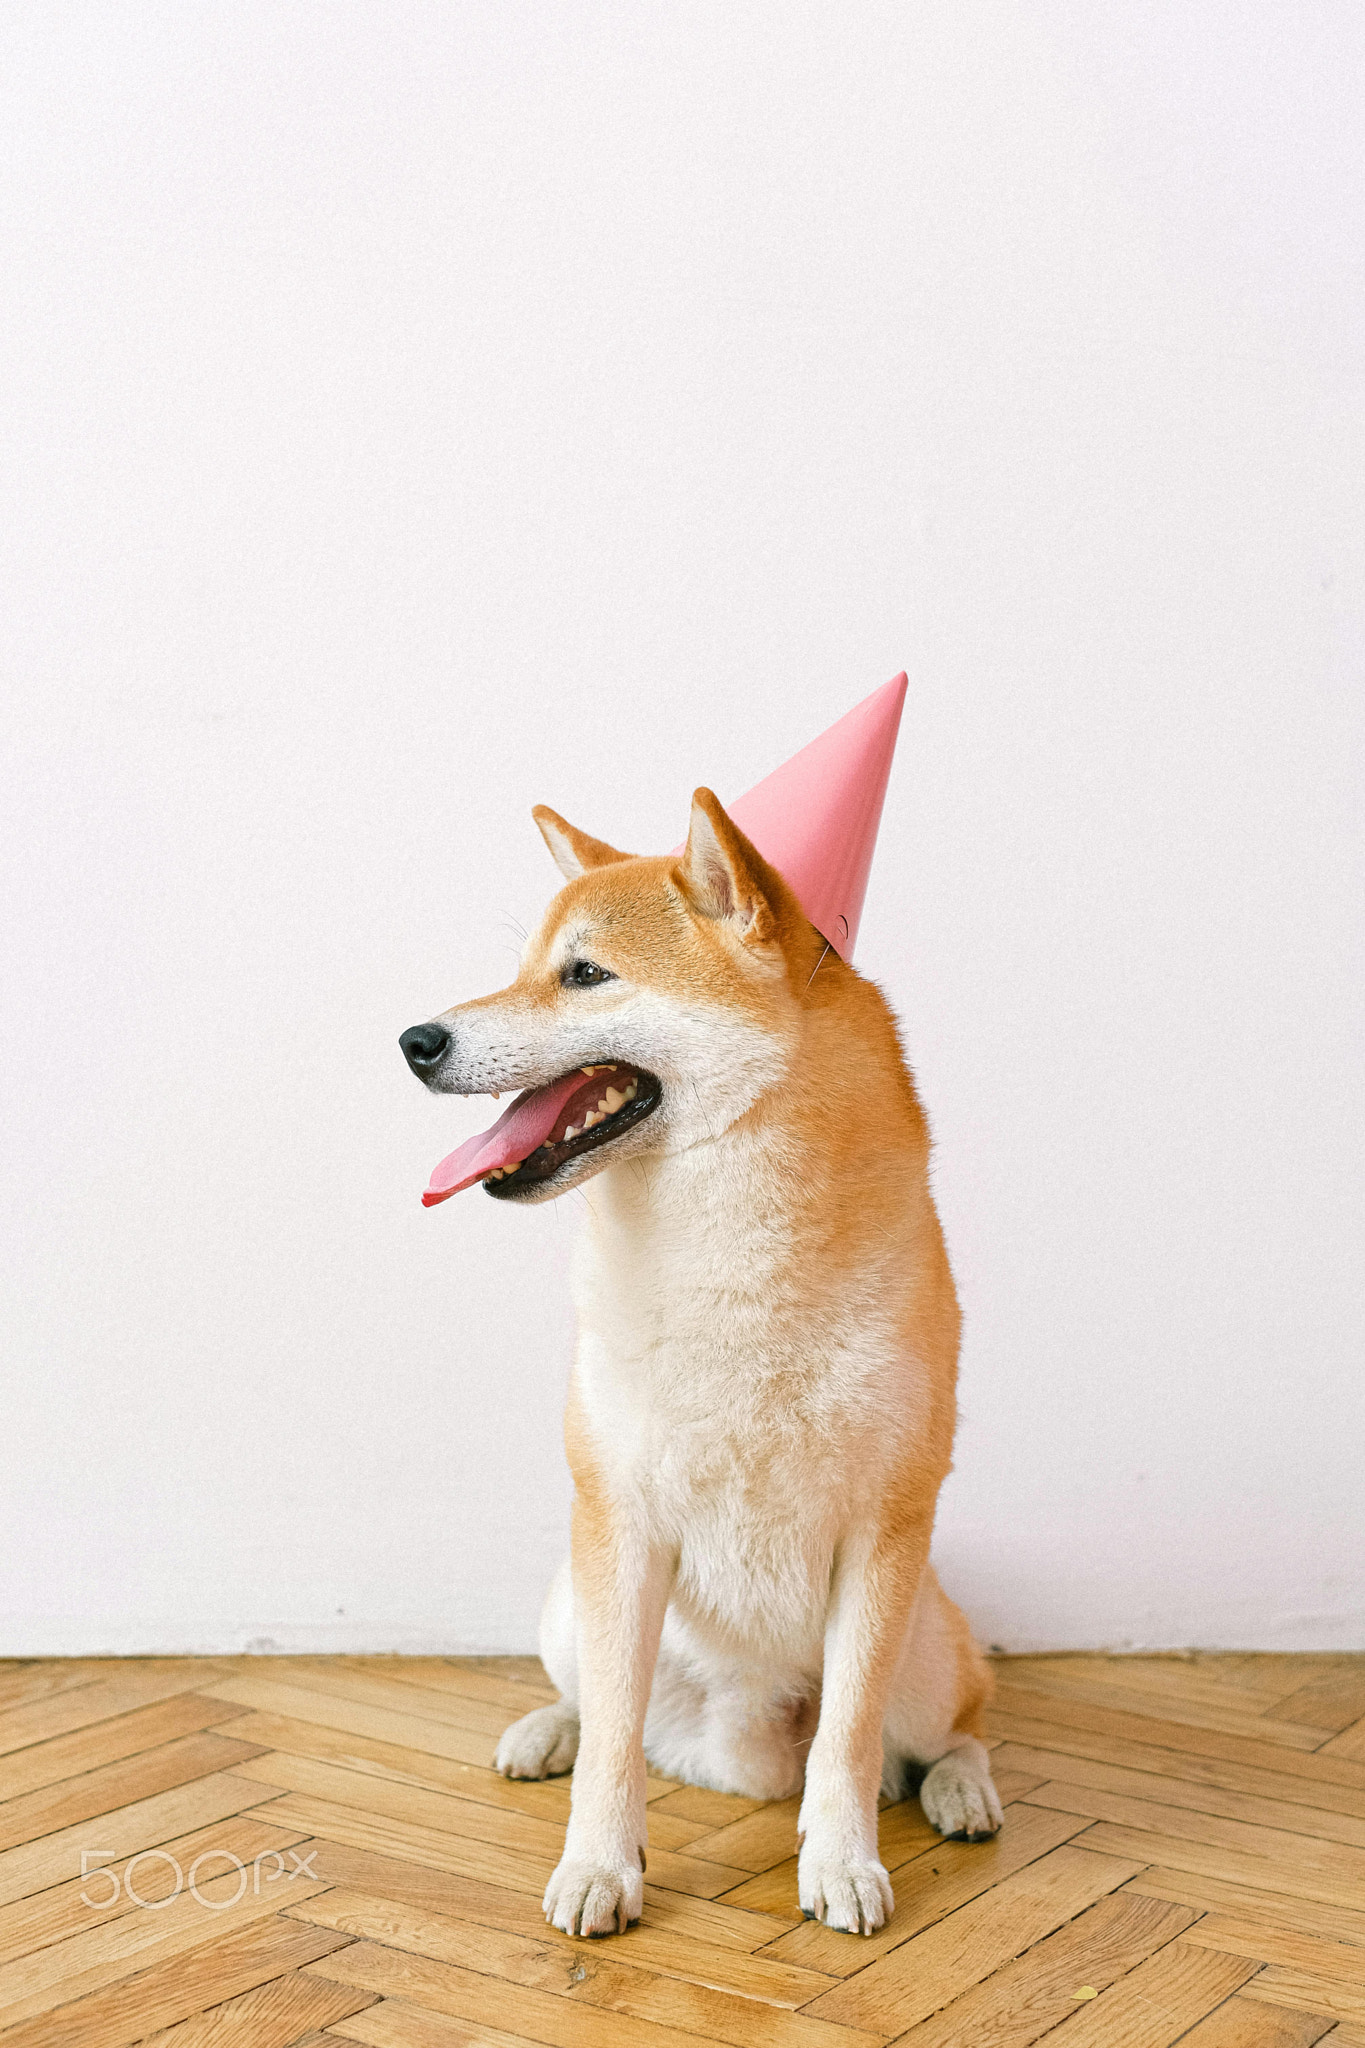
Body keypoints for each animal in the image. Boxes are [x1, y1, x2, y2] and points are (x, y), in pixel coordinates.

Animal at [397, 782, 1002, 1933]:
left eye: (585, 974)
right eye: (526, 963)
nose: (413, 1038)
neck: (730, 1258)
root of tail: (740, 1755)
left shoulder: (884, 1527)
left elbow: (849, 1743)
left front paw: (841, 1863)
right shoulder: (620, 1521)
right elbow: (613, 1745)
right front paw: (598, 1864)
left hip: (923, 1645)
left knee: (949, 1726)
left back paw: (960, 1788)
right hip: (571, 1603)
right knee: (597, 1703)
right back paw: (545, 1729)